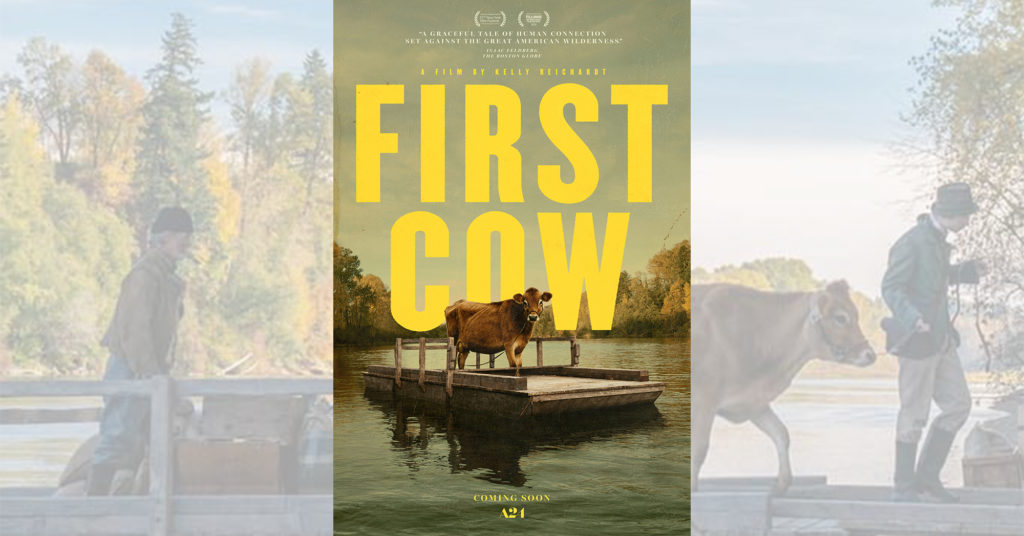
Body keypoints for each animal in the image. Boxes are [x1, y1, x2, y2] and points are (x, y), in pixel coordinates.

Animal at [691, 281, 876, 494]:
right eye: (840, 318)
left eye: (855, 314)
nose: (870, 354)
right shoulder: (703, 402)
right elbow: (699, 450)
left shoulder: (754, 401)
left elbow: (781, 434)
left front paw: (782, 482)